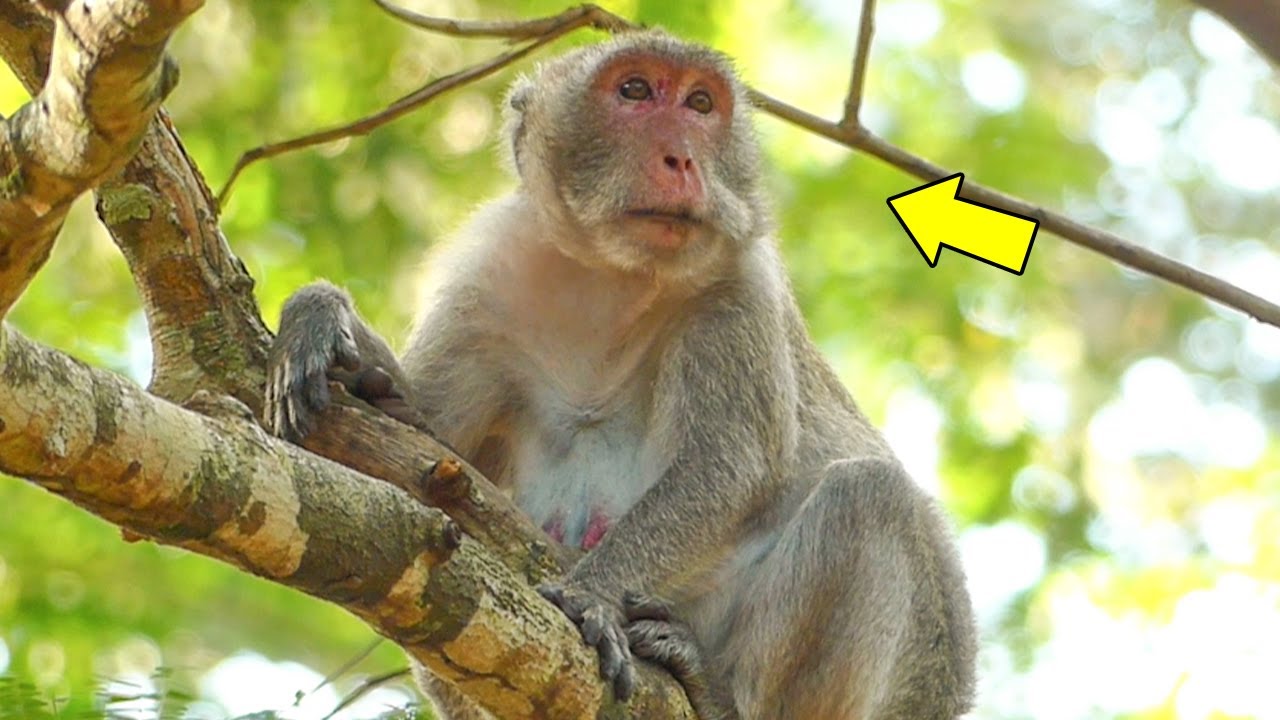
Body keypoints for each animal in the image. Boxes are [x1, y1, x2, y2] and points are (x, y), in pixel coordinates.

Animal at [265, 31, 977, 720]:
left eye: (699, 104)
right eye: (634, 91)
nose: (682, 160)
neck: (613, 275)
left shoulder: (739, 291)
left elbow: (730, 465)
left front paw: (593, 593)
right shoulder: (487, 277)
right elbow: (428, 447)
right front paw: (323, 322)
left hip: (921, 677)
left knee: (871, 495)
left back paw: (725, 695)